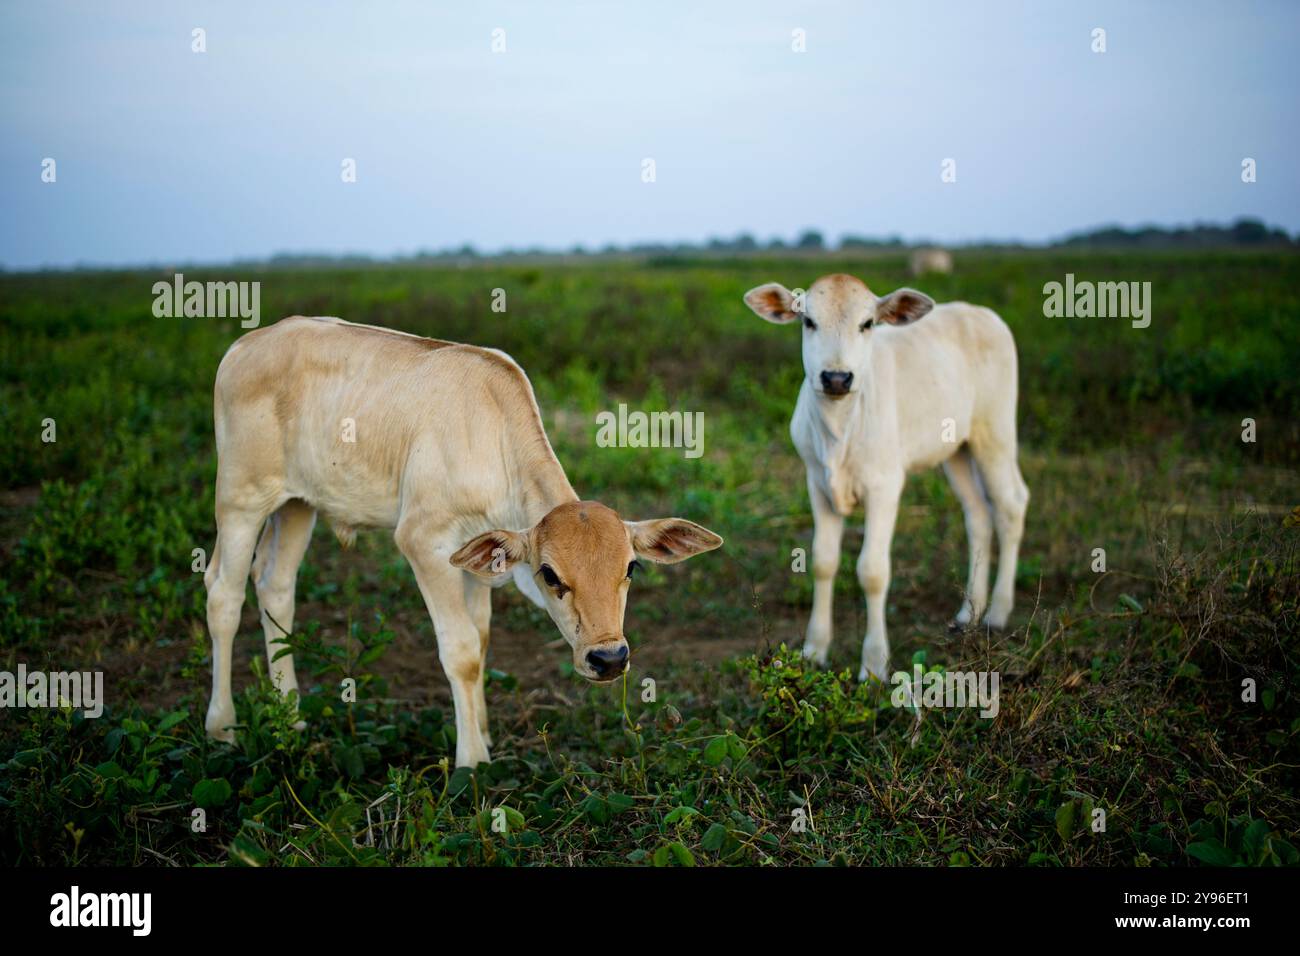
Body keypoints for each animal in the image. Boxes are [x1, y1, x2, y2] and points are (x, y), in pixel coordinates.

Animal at [203, 316, 723, 767]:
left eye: (630, 568)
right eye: (550, 574)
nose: (609, 658)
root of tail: (244, 345)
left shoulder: (477, 556)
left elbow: (483, 638)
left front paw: (484, 732)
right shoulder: (423, 542)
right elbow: (462, 651)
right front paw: (472, 761)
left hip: (297, 505)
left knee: (275, 587)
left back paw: (289, 717)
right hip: (240, 497)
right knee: (223, 594)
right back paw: (222, 729)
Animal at [743, 274, 1028, 681]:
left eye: (867, 324)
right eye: (808, 321)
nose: (836, 378)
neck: (839, 429)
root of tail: (979, 312)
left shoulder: (885, 485)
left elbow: (873, 570)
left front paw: (874, 664)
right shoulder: (816, 481)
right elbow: (823, 561)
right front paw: (814, 649)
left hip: (996, 431)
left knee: (1010, 505)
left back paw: (998, 613)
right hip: (956, 448)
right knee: (978, 514)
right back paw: (967, 613)